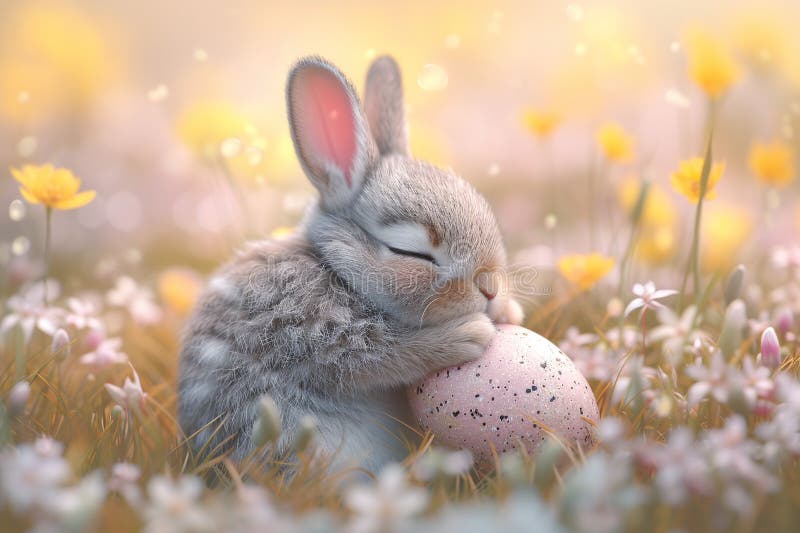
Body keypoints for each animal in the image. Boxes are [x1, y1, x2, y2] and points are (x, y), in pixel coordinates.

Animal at [177, 55, 523, 473]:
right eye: (410, 252)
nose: (490, 289)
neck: (338, 270)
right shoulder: (314, 334)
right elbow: (383, 356)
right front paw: (469, 334)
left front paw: (509, 312)